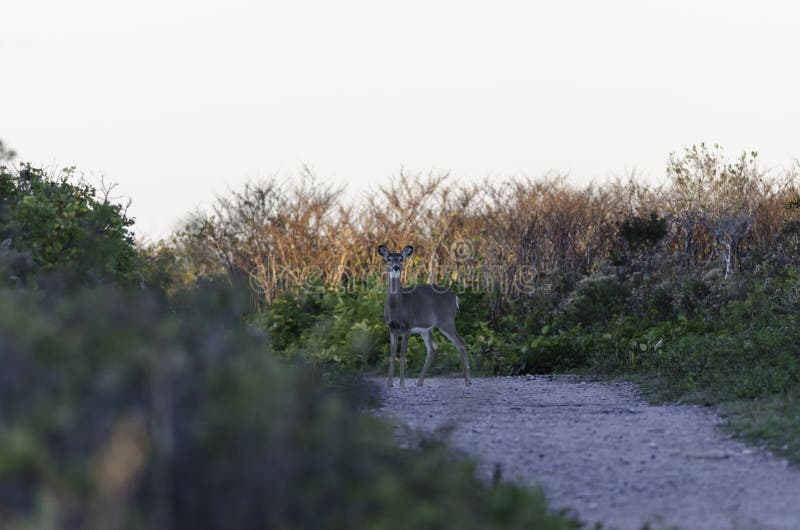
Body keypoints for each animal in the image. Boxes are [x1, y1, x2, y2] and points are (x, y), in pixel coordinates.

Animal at [377, 245, 471, 388]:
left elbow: (402, 354)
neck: (398, 305)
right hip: (426, 329)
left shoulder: (407, 326)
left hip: (446, 321)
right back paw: (419, 382)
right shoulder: (391, 327)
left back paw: (467, 381)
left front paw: (402, 384)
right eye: (389, 258)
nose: (396, 267)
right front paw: (389, 384)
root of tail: (455, 297)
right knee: (433, 349)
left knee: (460, 343)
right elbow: (392, 355)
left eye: (401, 259)